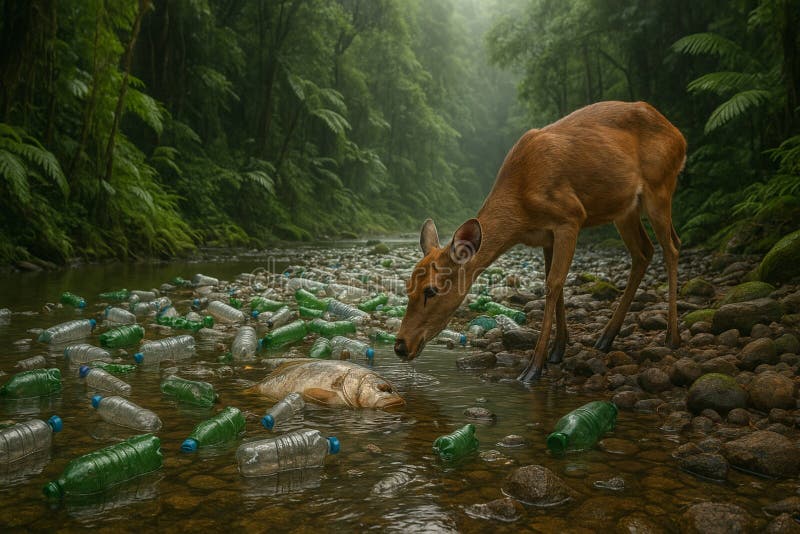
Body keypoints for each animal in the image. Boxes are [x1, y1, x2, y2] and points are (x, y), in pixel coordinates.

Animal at [394, 101, 687, 382]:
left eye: (431, 291)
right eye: (407, 287)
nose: (400, 346)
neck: (522, 207)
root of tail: (679, 136)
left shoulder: (570, 217)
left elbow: (553, 283)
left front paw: (533, 367)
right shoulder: (546, 236)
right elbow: (555, 284)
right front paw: (557, 350)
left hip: (659, 186)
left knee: (672, 246)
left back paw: (672, 336)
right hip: (625, 209)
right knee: (644, 251)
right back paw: (605, 338)